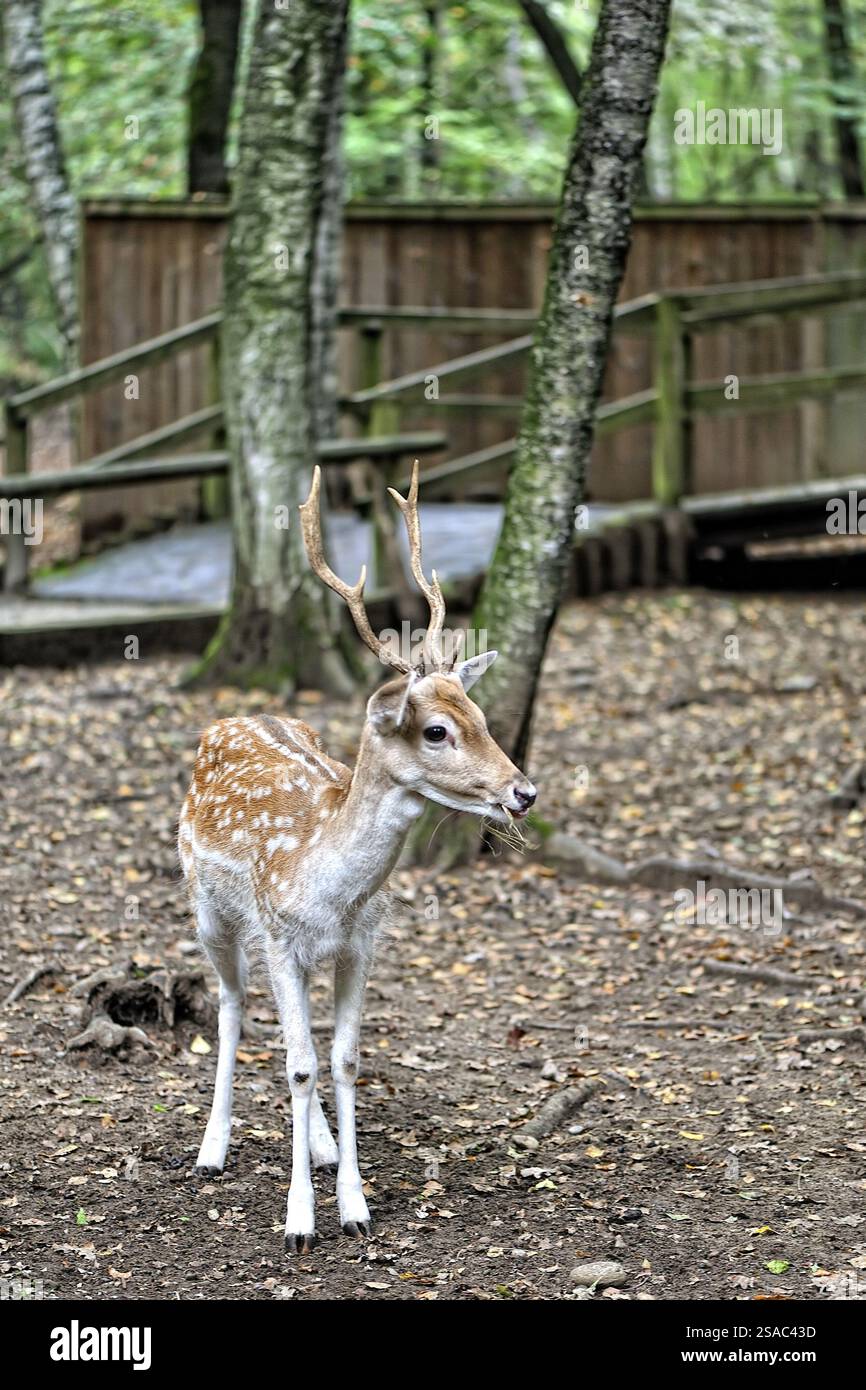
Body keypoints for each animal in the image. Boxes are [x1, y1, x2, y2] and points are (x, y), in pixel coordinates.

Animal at [178, 462, 537, 1252]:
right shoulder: (281, 938)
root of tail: (233, 715)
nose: (523, 791)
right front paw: (299, 1221)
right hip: (209, 907)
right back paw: (212, 1148)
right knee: (230, 1005)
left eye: (482, 717)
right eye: (436, 730)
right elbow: (298, 1067)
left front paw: (354, 1203)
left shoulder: (362, 942)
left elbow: (339, 1059)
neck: (329, 887)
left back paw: (318, 1143)